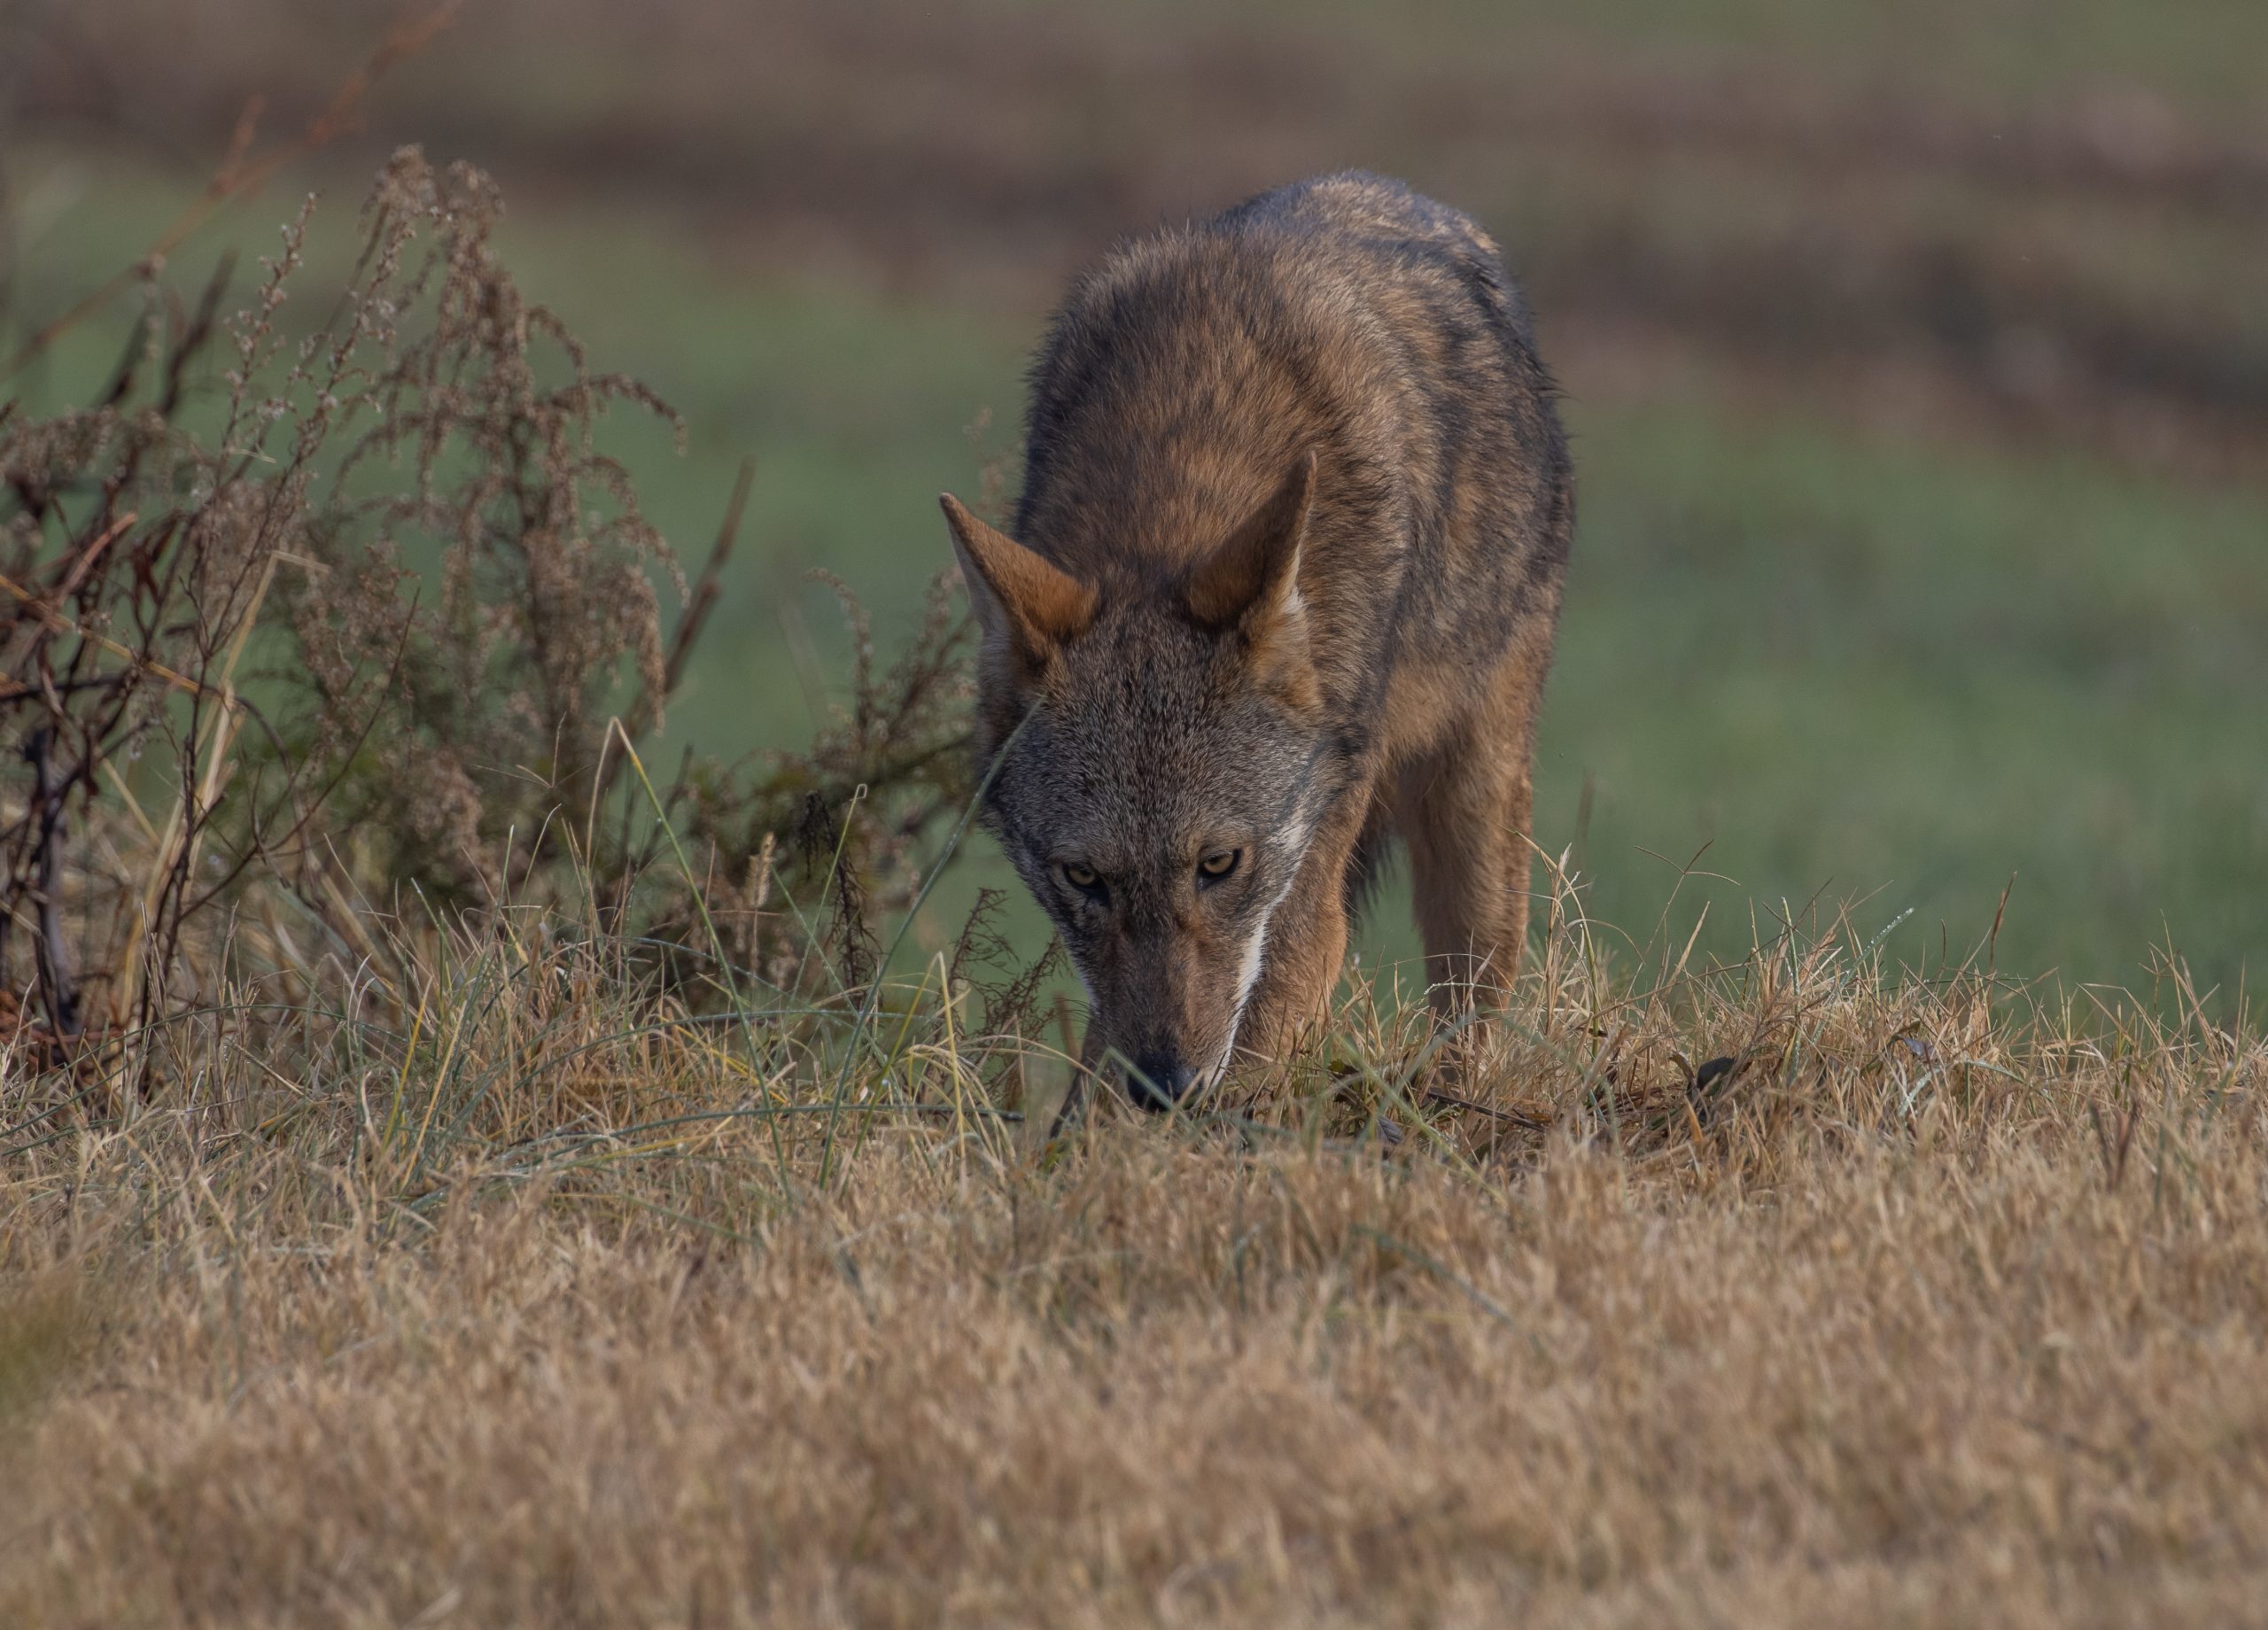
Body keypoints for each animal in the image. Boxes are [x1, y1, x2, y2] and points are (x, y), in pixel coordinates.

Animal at [940, 172, 1571, 1110]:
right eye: (1083, 877)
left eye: (1220, 863)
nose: (1166, 1084)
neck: (1181, 455)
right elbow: (1098, 1055)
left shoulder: (1311, 877)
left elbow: (1277, 1006)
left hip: (1475, 792)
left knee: (1475, 989)